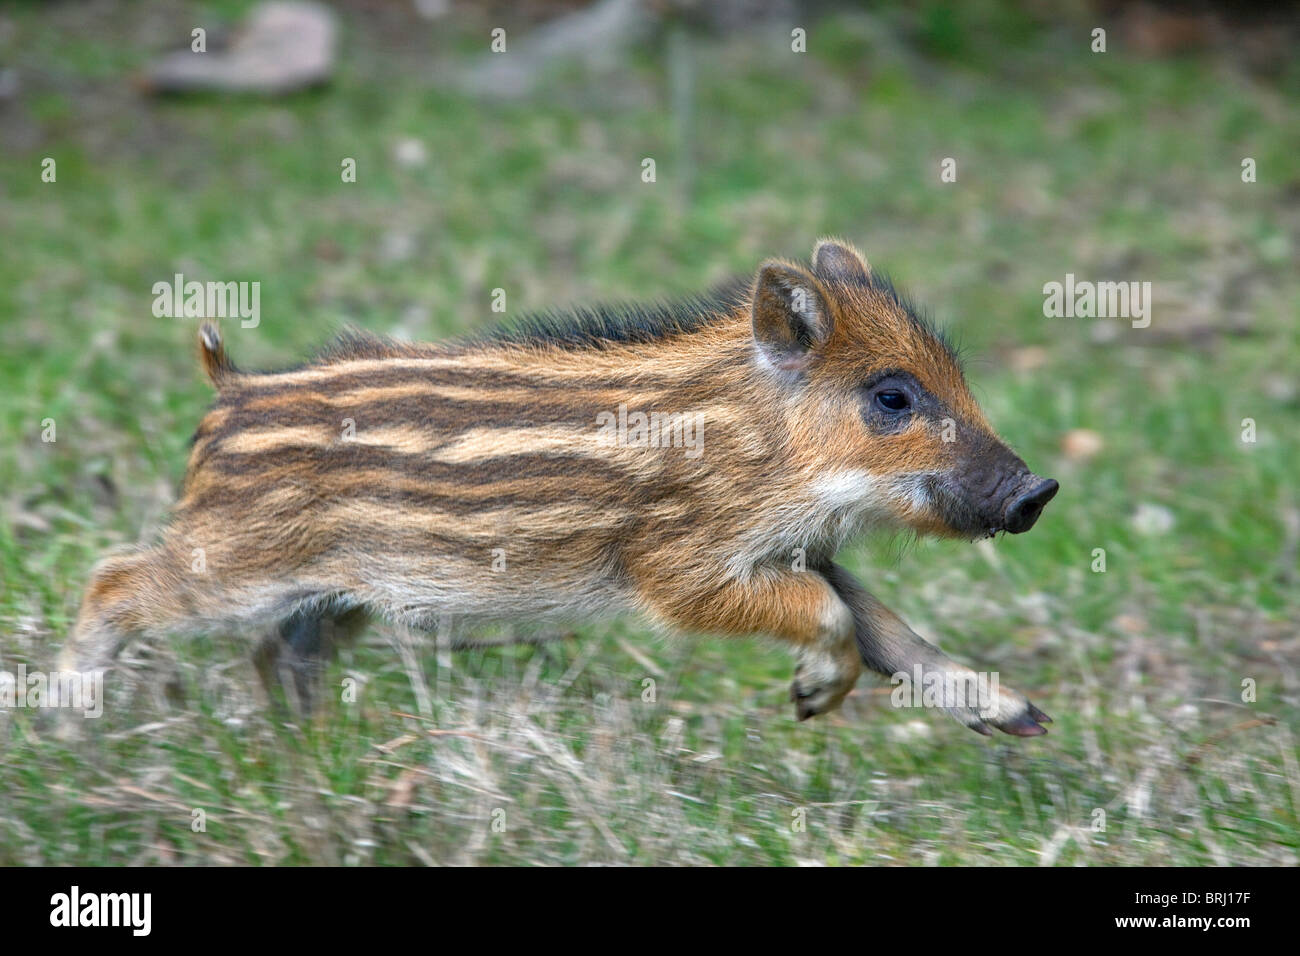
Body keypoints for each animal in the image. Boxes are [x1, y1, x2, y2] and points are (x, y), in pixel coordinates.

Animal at [61, 239, 1058, 736]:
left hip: (337, 592)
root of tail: (228, 392)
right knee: (115, 581)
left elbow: (885, 626)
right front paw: (812, 701)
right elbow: (833, 616)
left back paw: (309, 759)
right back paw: (68, 726)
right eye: (891, 396)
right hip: (233, 560)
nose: (1037, 491)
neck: (758, 445)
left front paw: (1021, 719)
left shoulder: (799, 550)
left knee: (280, 656)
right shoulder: (679, 568)